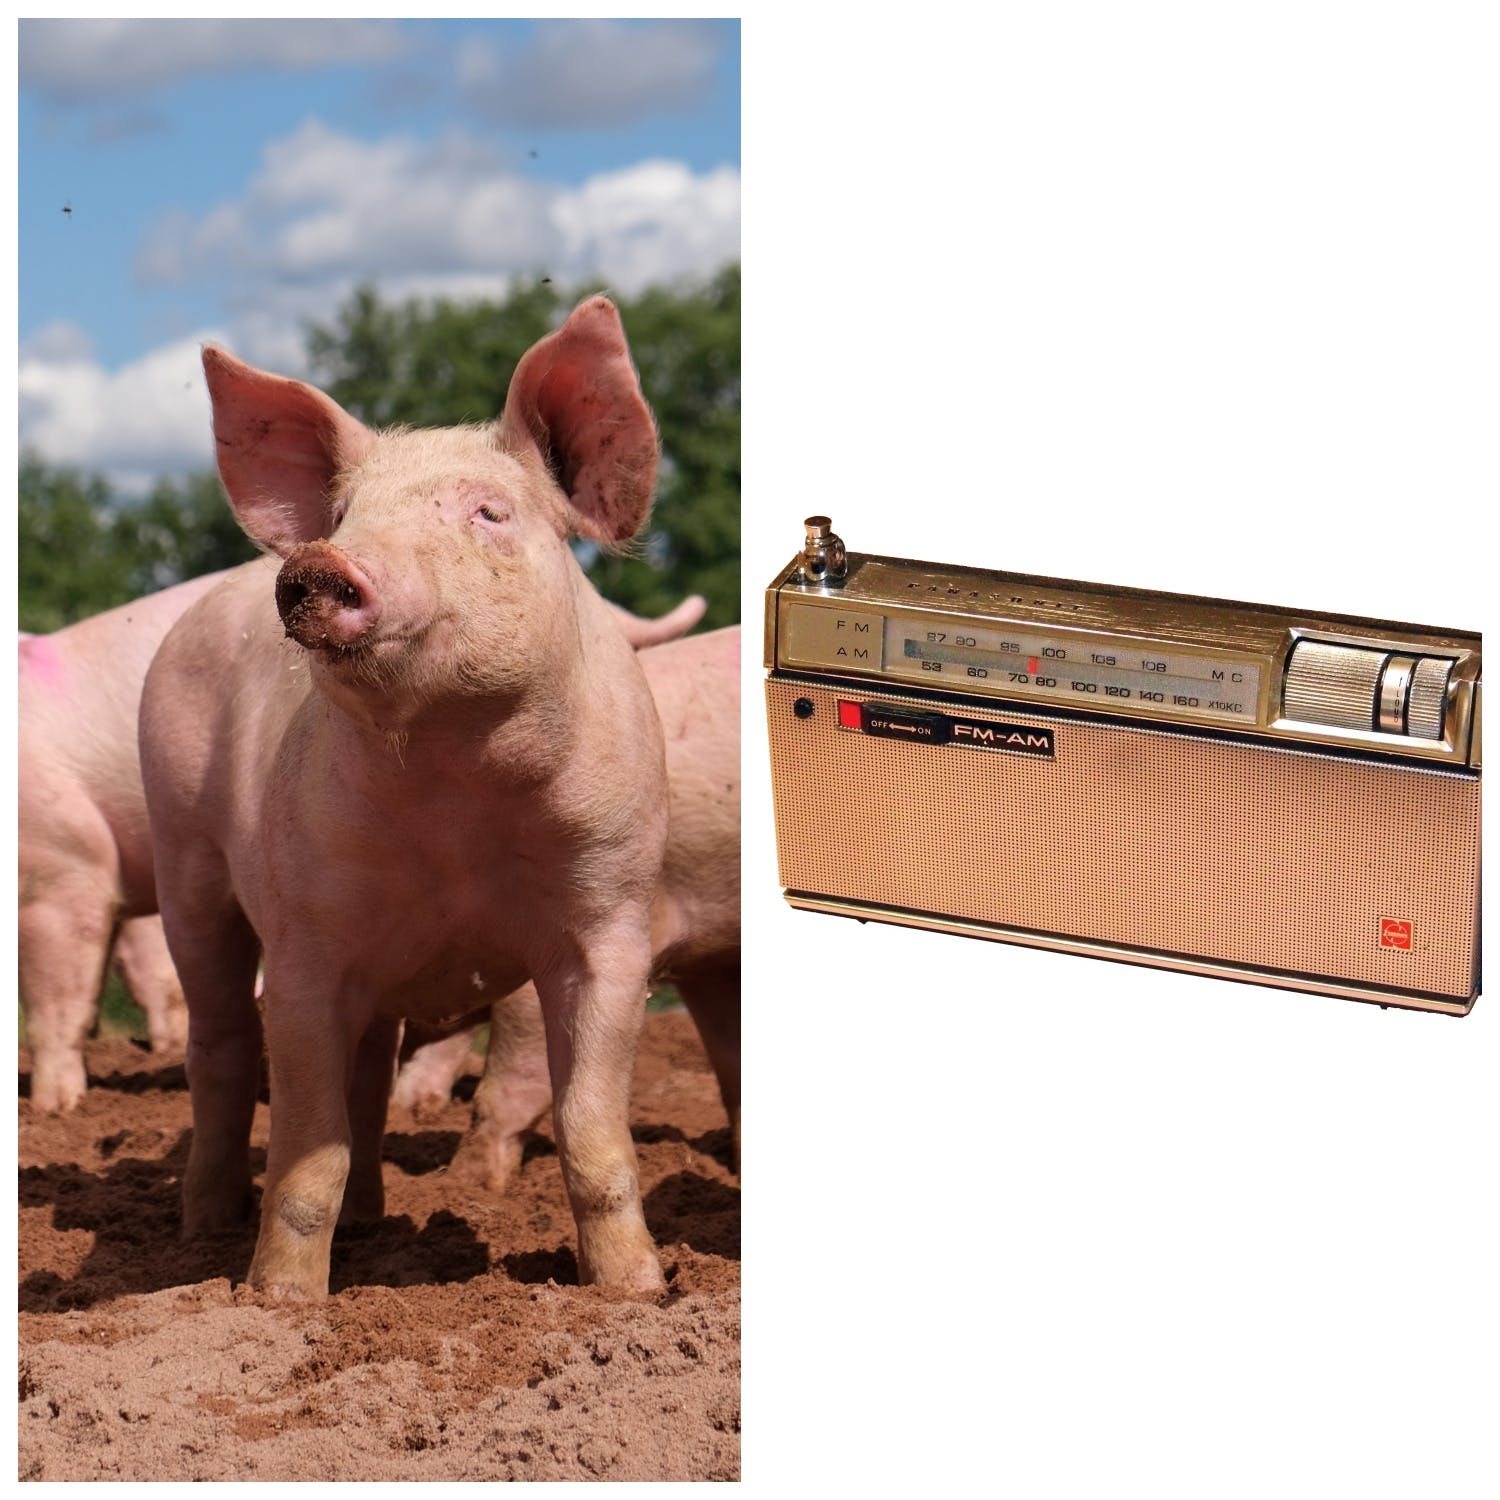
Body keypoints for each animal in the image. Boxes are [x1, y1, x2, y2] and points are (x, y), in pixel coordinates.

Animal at [140, 297, 680, 1297]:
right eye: (347, 514)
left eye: (489, 512)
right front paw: (279, 1303)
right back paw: (201, 1237)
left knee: (367, 1077)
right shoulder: (305, 943)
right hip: (182, 857)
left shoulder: (614, 919)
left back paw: (369, 1226)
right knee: (221, 1047)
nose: (319, 563)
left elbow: (590, 1131)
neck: (456, 791)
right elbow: (305, 1151)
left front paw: (637, 1294)